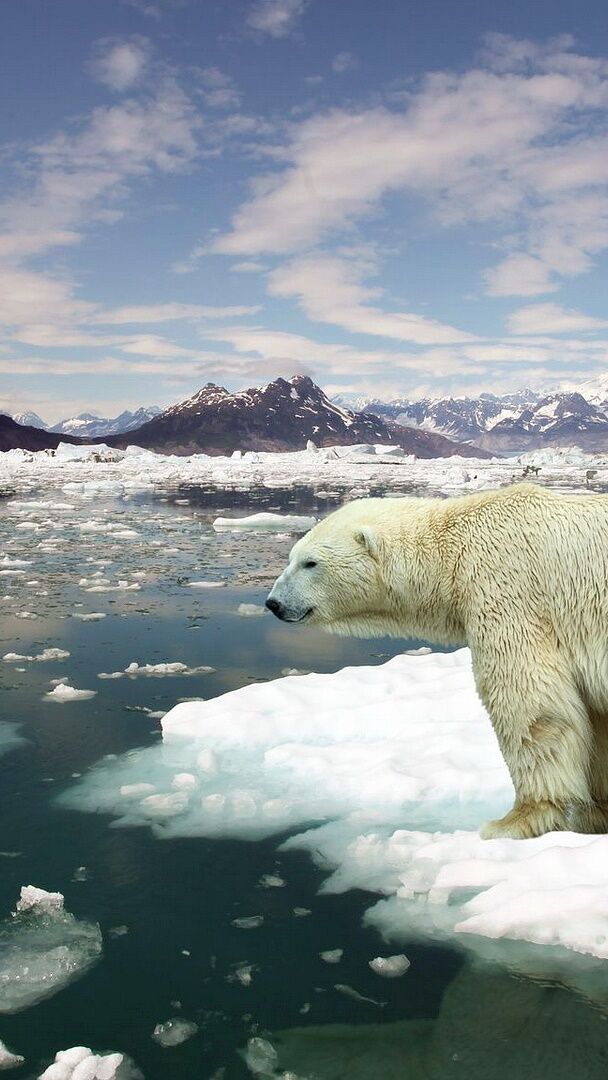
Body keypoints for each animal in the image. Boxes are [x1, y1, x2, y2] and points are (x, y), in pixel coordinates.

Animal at [266, 483, 608, 840]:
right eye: (292, 557)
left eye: (310, 563)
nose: (273, 603)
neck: (457, 552)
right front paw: (595, 812)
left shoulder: (508, 595)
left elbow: (532, 707)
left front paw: (516, 821)